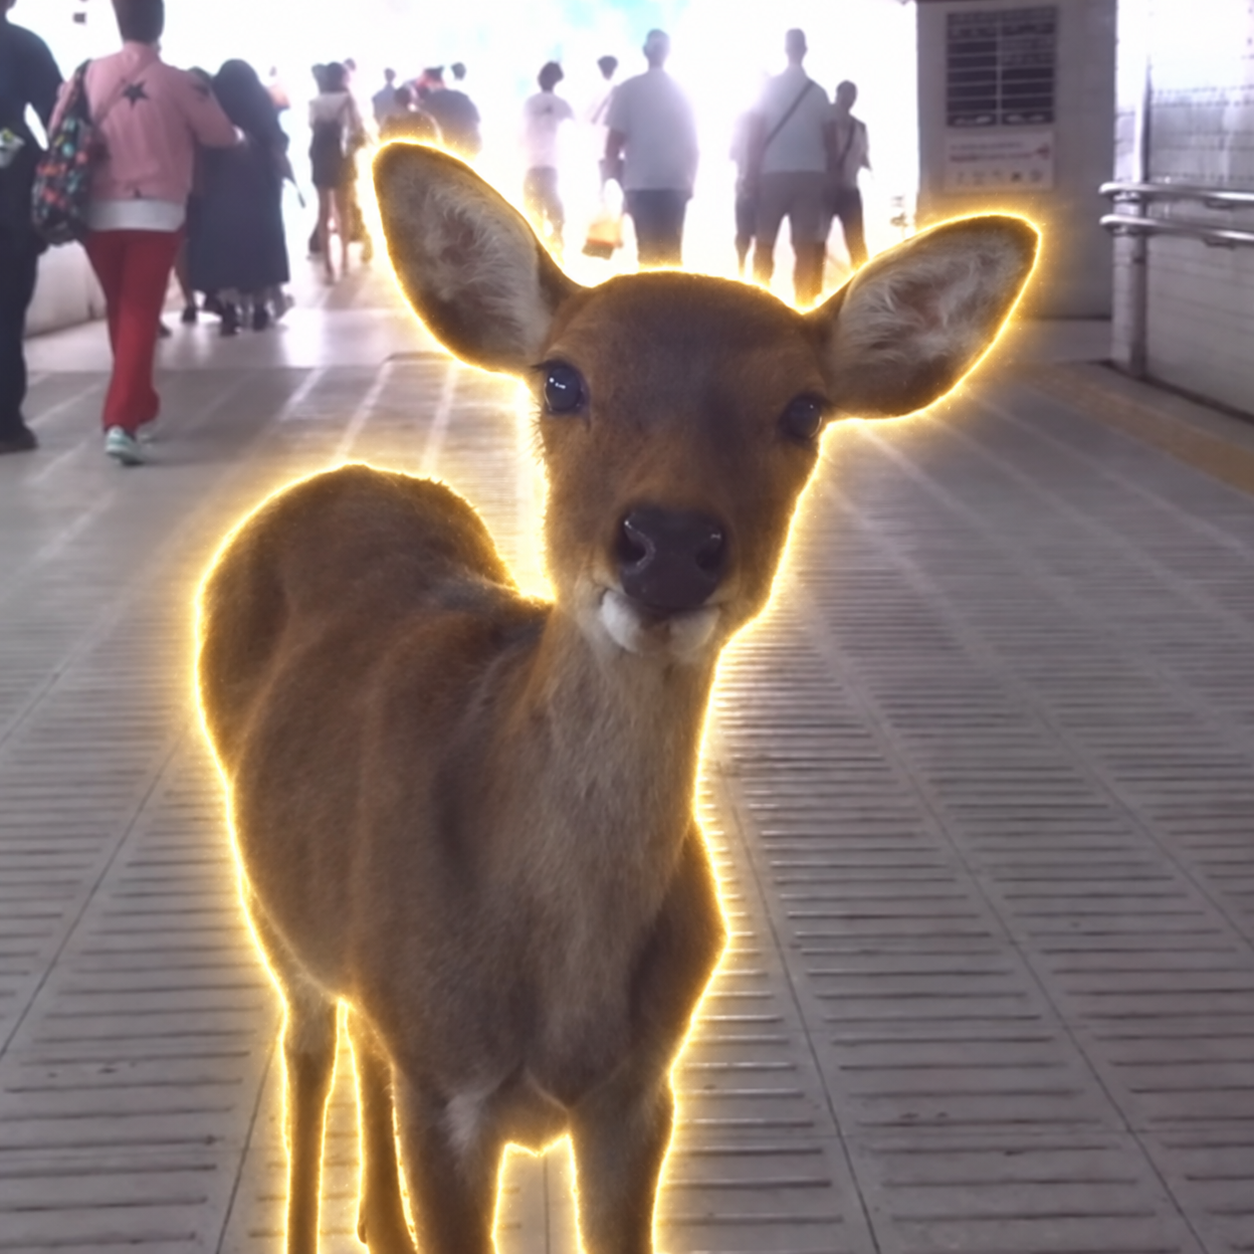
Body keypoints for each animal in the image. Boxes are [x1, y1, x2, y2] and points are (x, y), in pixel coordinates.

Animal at [194, 141, 1037, 1254]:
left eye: (804, 409)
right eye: (561, 379)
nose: (670, 543)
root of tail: (335, 475)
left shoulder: (640, 1091)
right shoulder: (449, 1089)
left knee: (361, 1037)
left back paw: (378, 1219)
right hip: (266, 898)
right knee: (307, 1043)